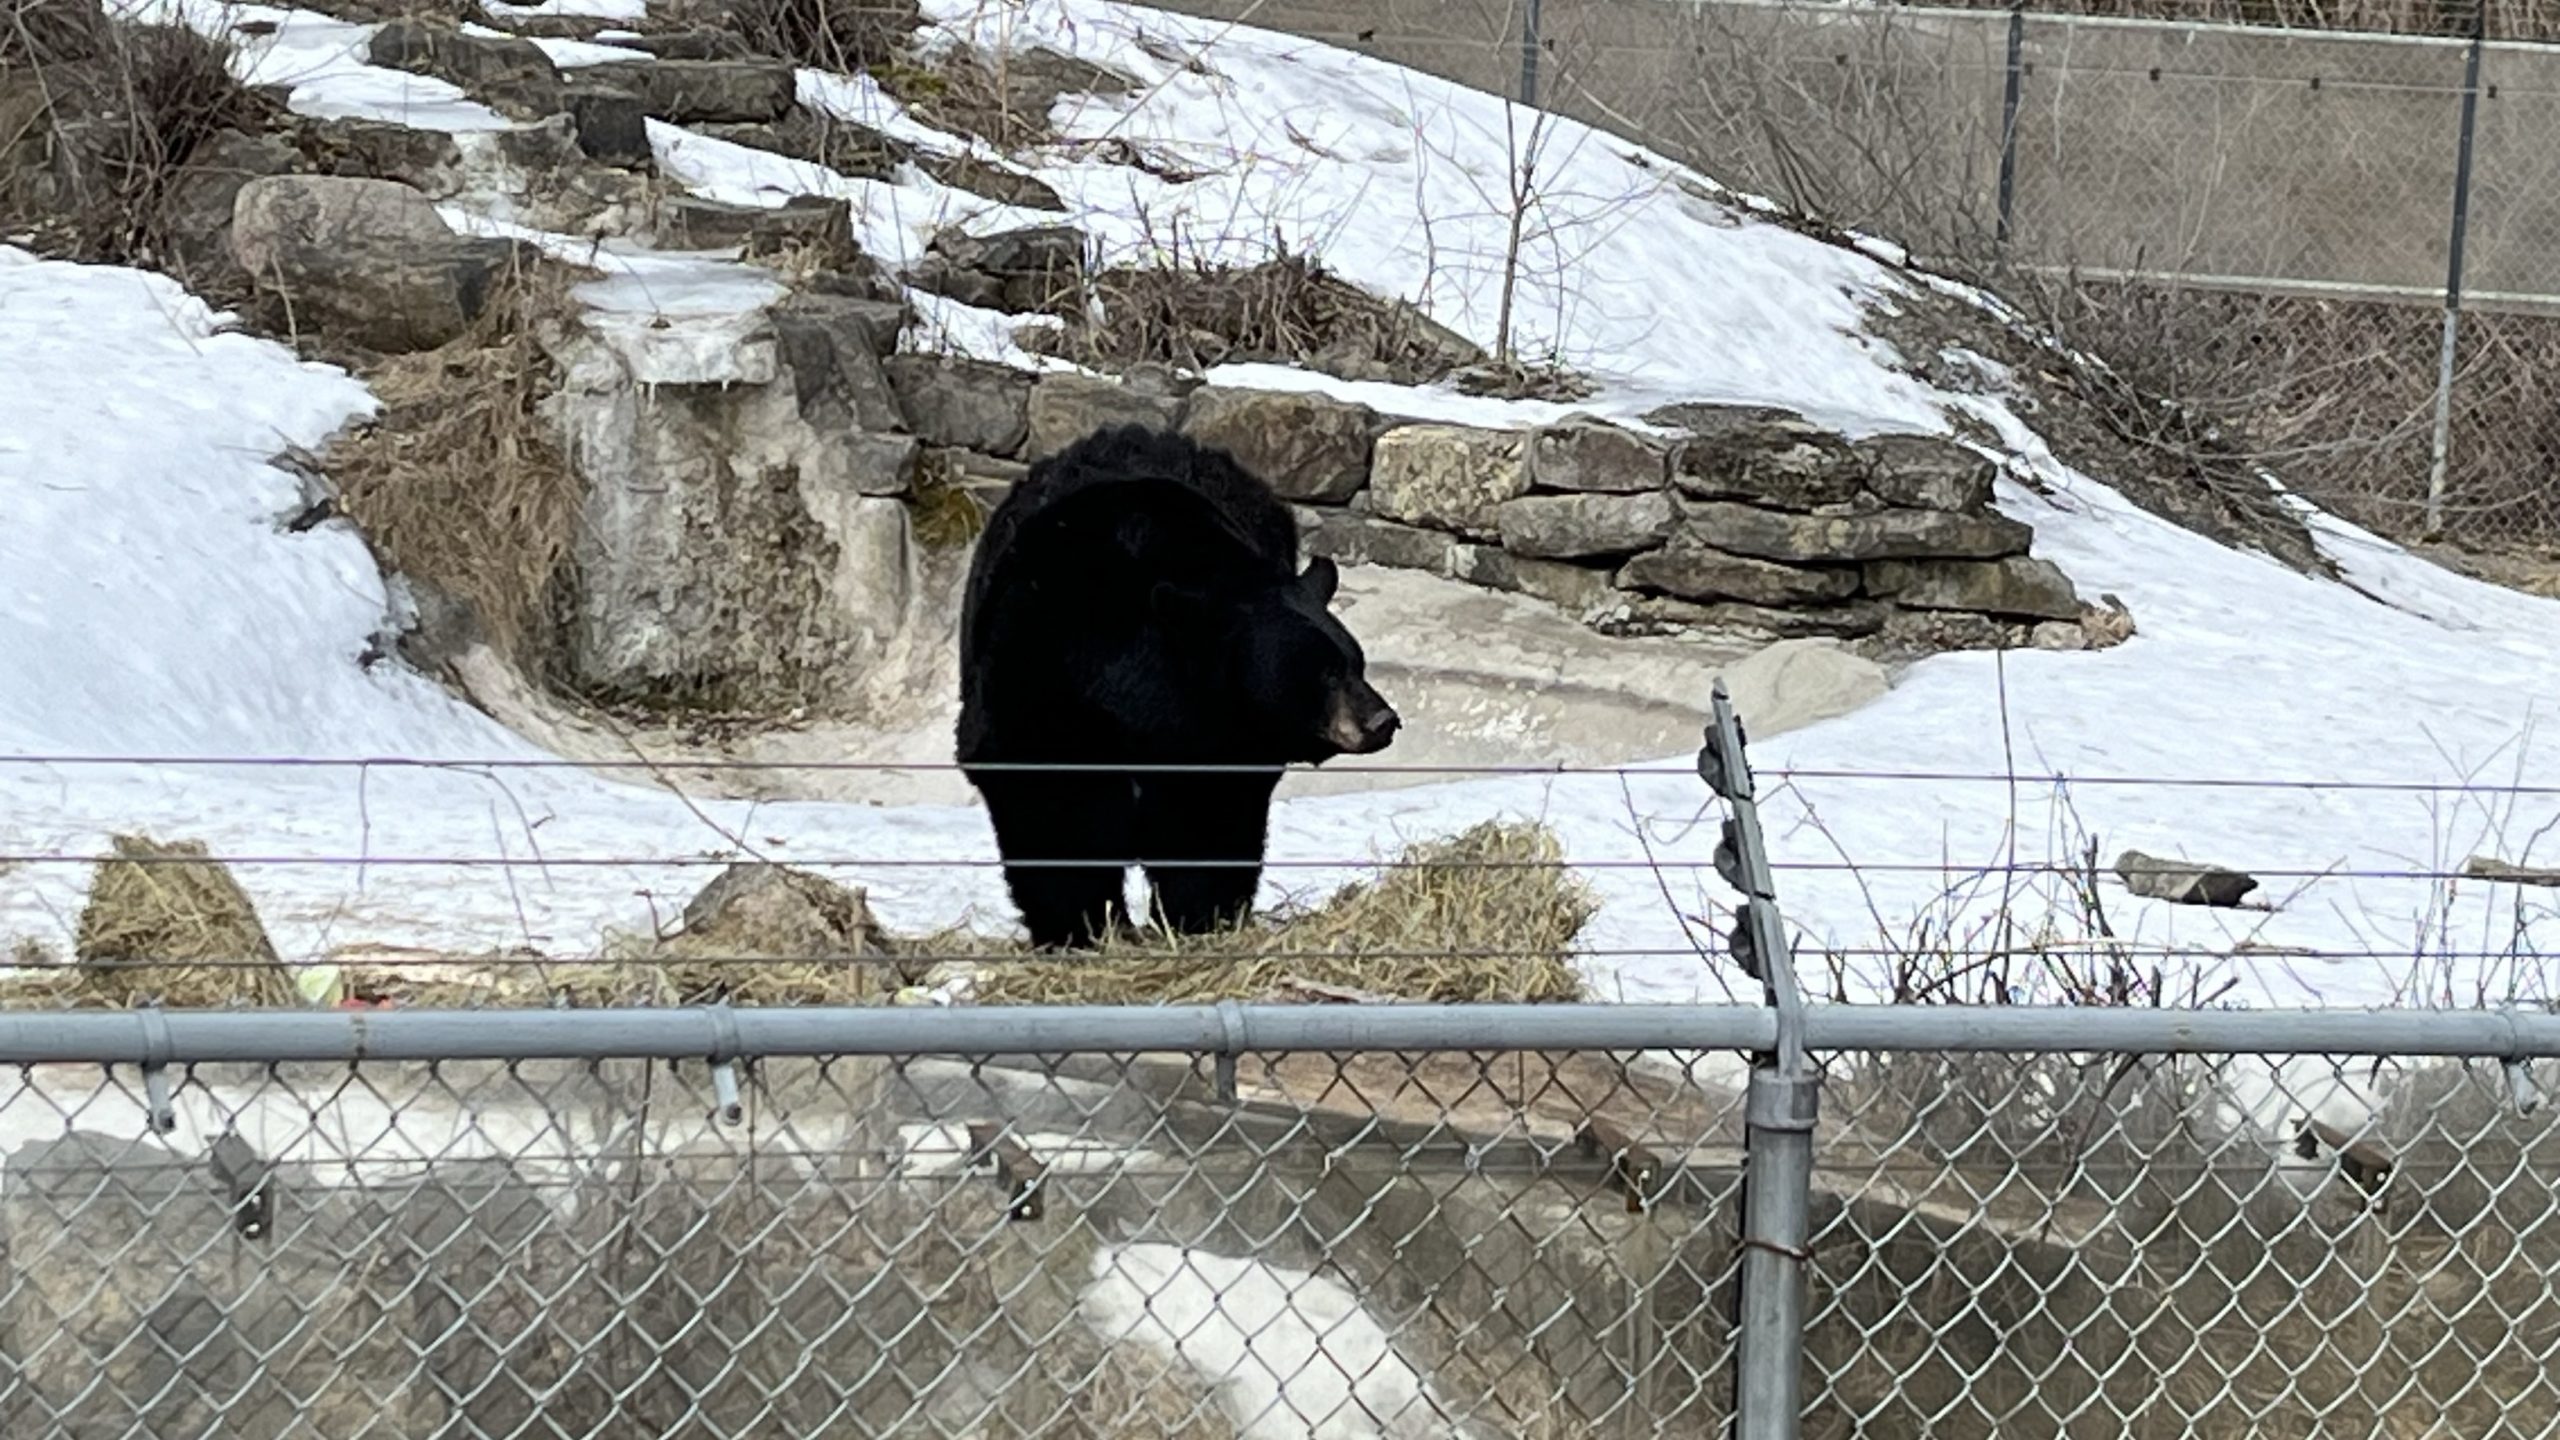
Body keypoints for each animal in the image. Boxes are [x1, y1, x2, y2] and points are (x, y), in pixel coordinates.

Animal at [955, 422, 1402, 951]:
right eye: (1325, 672)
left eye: (1357, 662)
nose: (1383, 721)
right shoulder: (1031, 678)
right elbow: (1054, 810)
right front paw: (1079, 929)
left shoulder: (1214, 742)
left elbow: (1206, 827)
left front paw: (1197, 918)